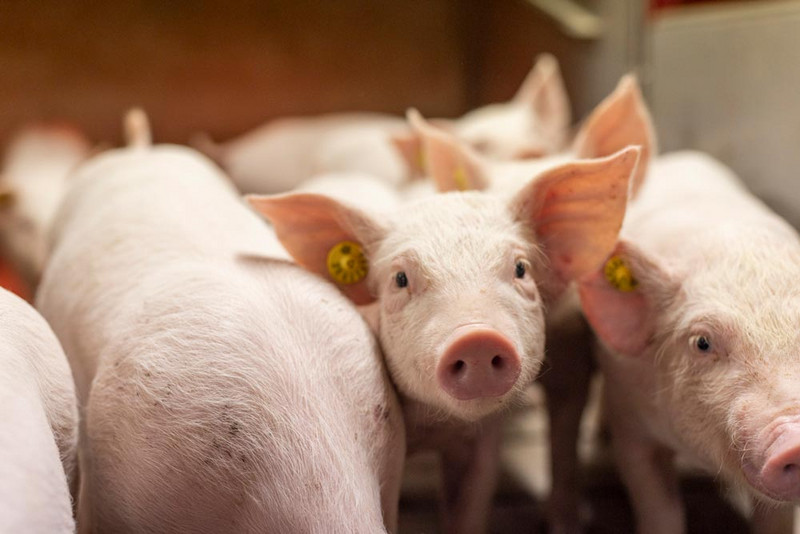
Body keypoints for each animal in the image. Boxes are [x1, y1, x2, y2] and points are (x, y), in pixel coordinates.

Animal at [248, 140, 640, 533]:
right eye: (400, 279)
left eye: (521, 269)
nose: (477, 338)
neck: (431, 426)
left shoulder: (482, 441)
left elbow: (469, 505)